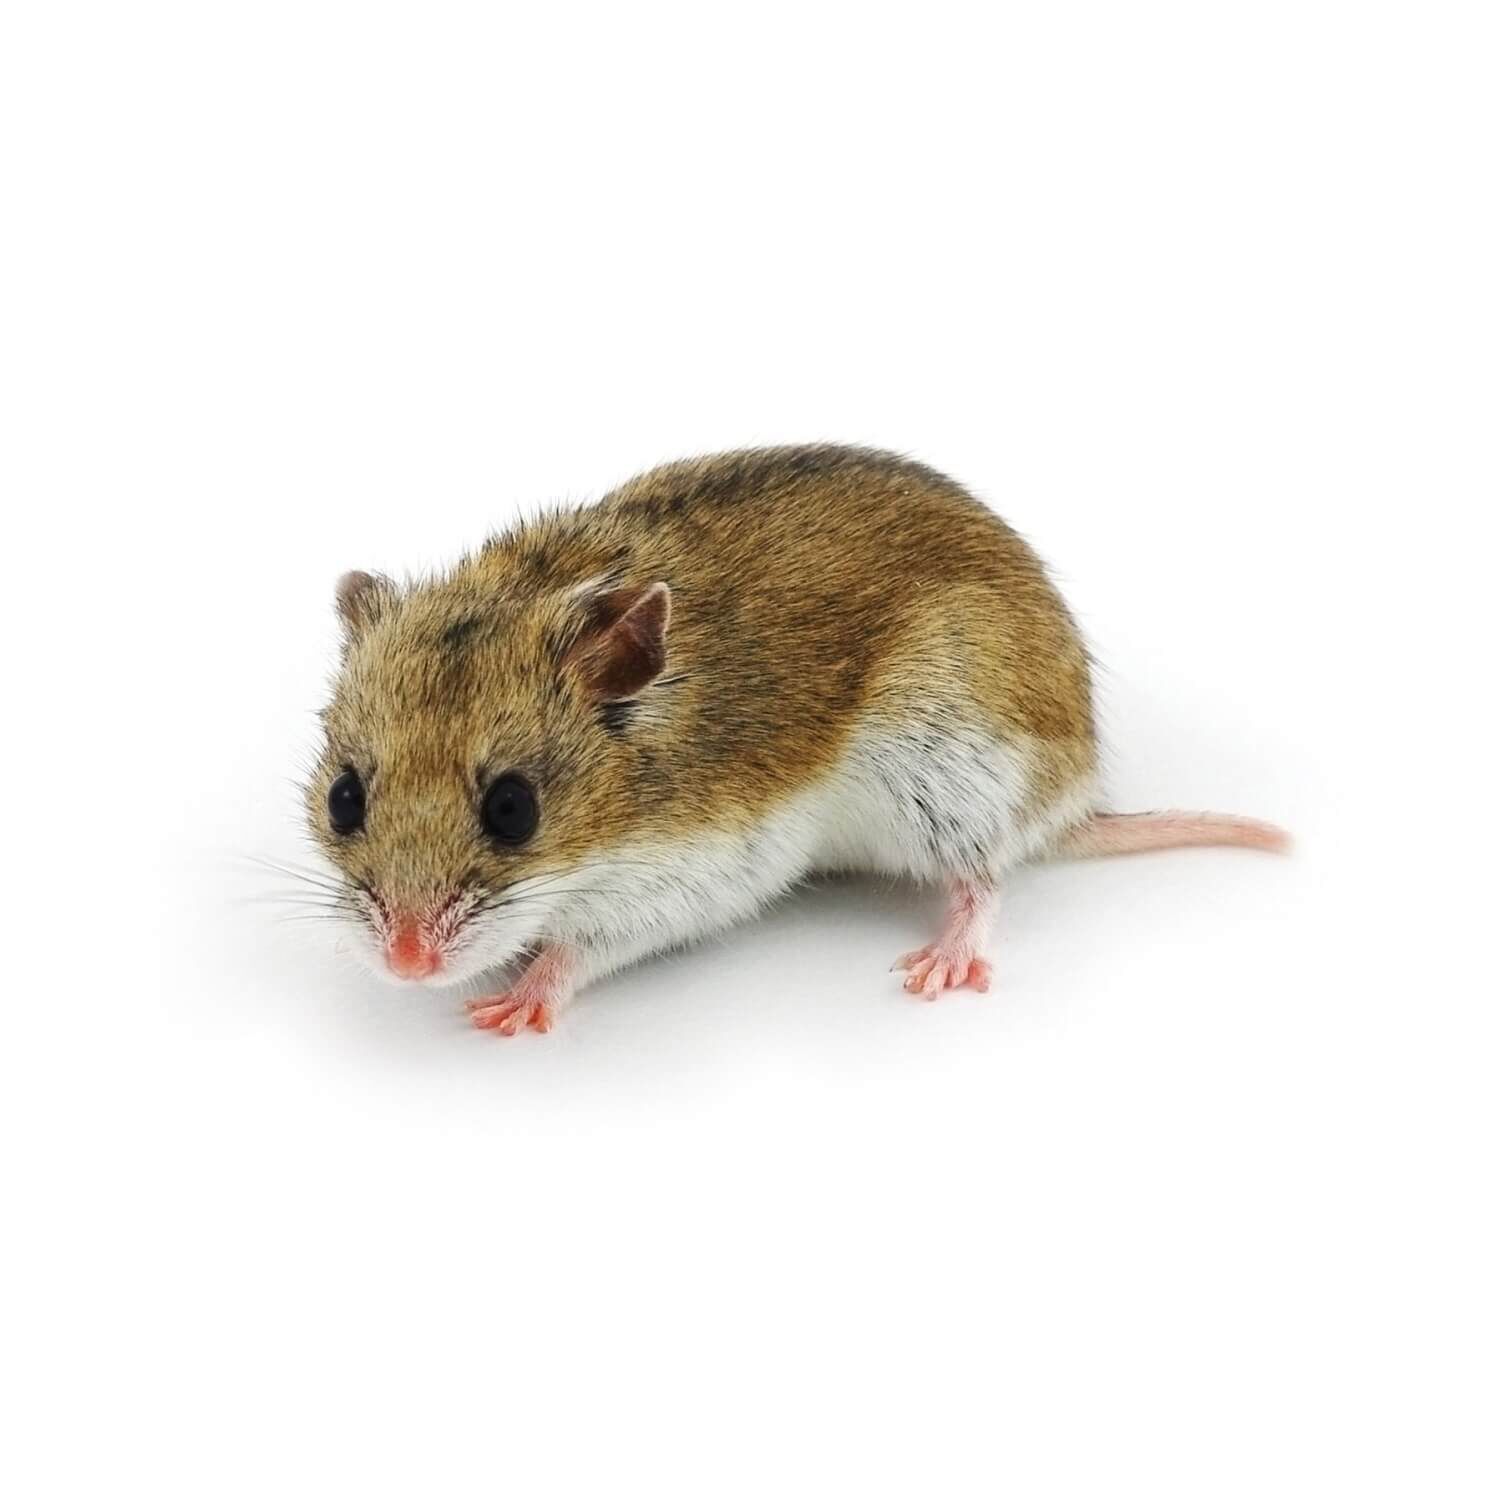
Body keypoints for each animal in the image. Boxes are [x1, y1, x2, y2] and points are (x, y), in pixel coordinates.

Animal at [306, 445, 1286, 1035]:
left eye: (514, 809)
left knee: (984, 878)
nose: (404, 968)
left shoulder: (682, 882)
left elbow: (577, 951)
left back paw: (938, 968)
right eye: (343, 799)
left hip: (949, 773)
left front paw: (507, 1011)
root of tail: (1079, 794)